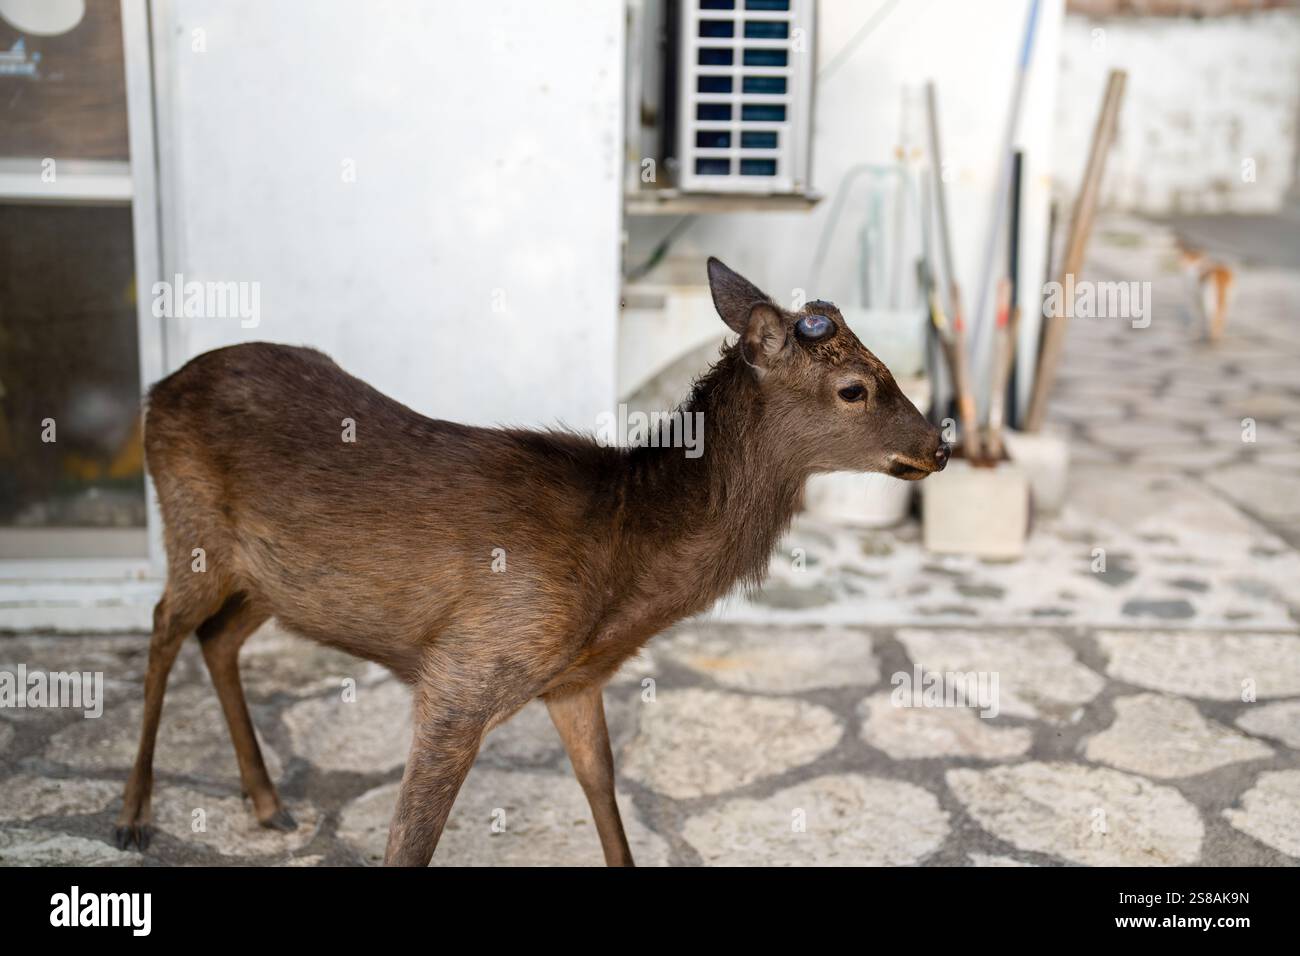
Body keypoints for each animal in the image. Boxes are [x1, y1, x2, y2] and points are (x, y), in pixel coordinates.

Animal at [115, 258, 950, 866]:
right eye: (856, 387)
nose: (939, 446)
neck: (620, 568)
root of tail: (155, 392)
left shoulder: (572, 682)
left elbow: (603, 790)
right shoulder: (466, 669)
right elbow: (410, 842)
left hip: (265, 578)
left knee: (216, 638)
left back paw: (265, 802)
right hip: (191, 529)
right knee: (160, 627)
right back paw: (133, 816)